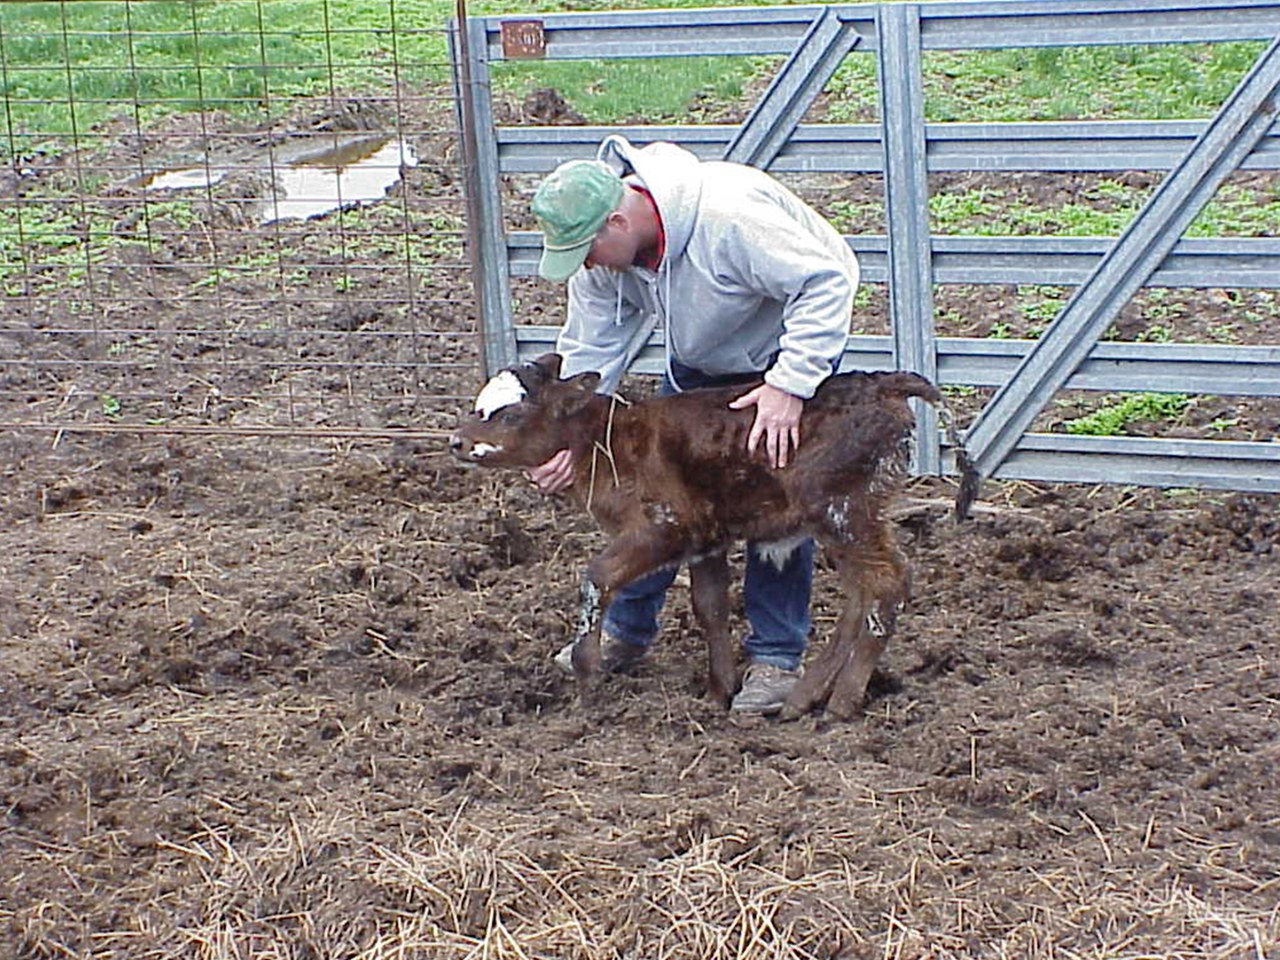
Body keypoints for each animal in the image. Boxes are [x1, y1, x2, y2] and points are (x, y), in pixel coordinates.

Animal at [450, 353, 977, 720]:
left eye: (512, 415)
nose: (456, 441)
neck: (610, 442)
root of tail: (883, 382)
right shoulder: (704, 540)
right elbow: (710, 607)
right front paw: (718, 691)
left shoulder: (663, 527)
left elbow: (597, 577)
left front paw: (587, 679)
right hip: (846, 520)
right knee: (861, 596)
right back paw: (804, 697)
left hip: (845, 513)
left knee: (888, 585)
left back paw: (841, 702)